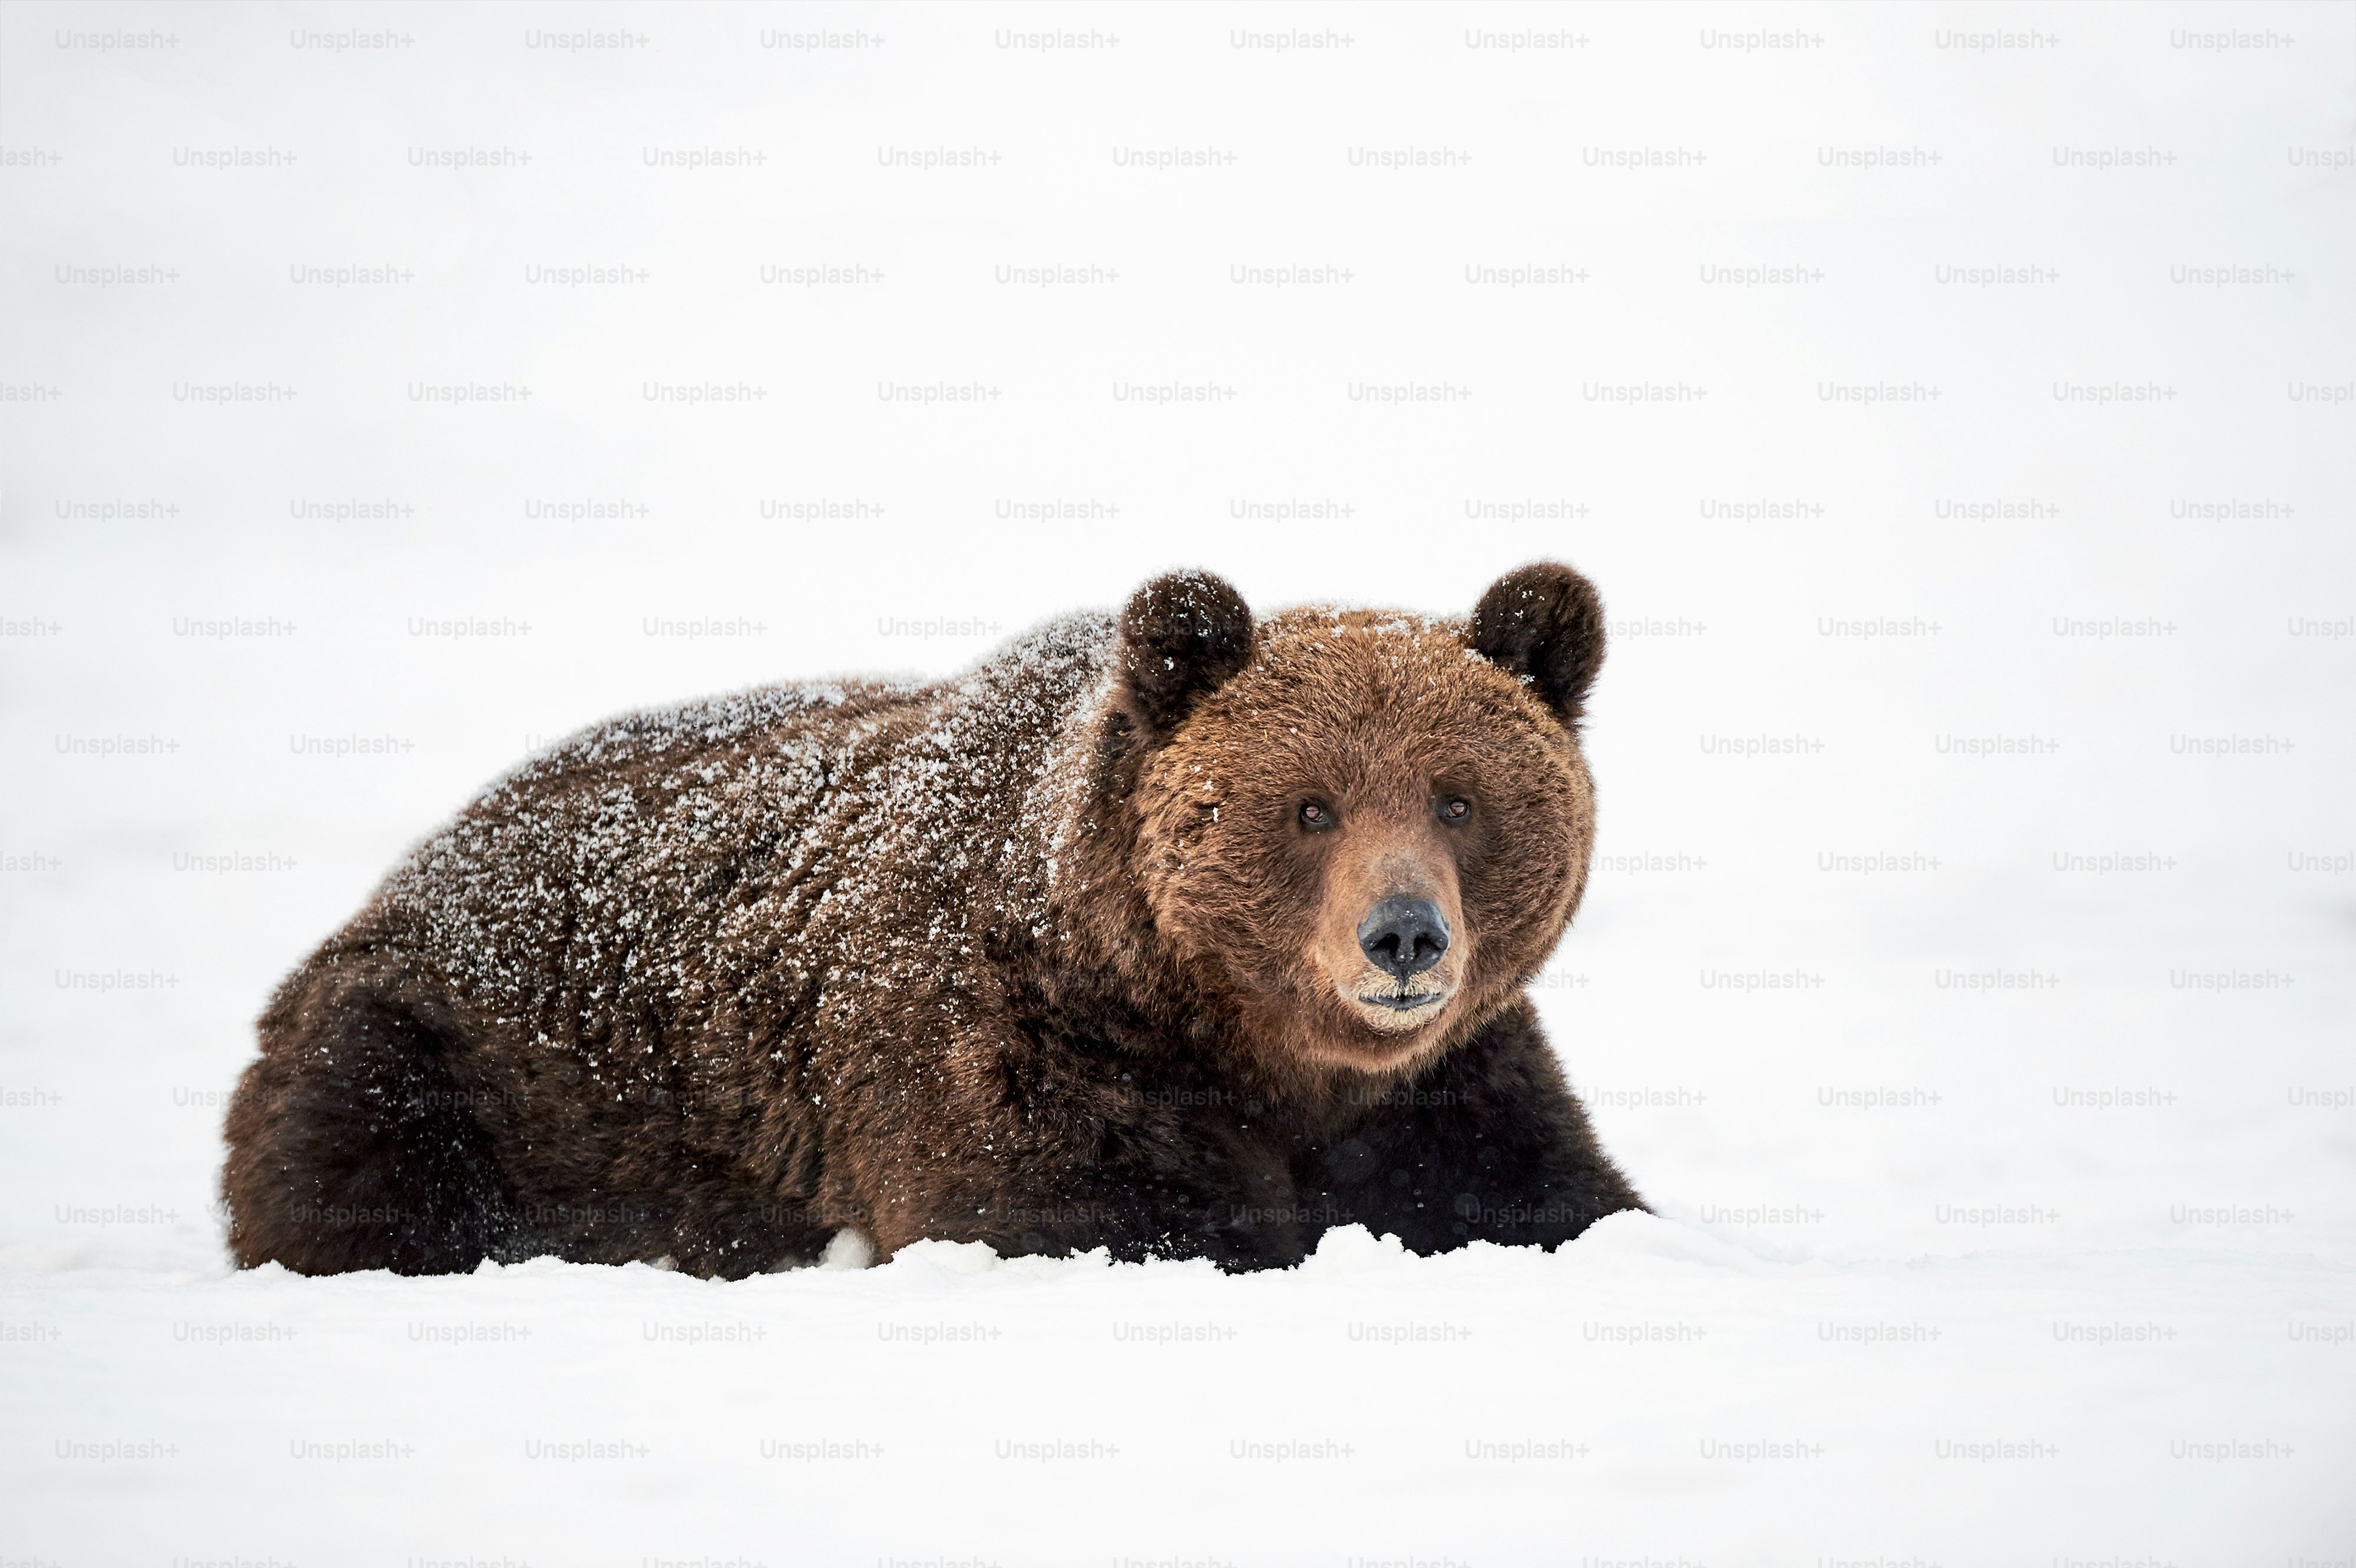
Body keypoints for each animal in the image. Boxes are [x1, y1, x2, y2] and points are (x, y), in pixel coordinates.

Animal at [222, 562, 1644, 1276]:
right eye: (1309, 805)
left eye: (1457, 797)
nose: (1402, 936)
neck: (1247, 1049)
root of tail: (411, 861)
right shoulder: (1017, 1052)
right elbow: (1067, 1214)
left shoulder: (1447, 1077)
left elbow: (1546, 1191)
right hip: (439, 1056)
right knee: (363, 1171)